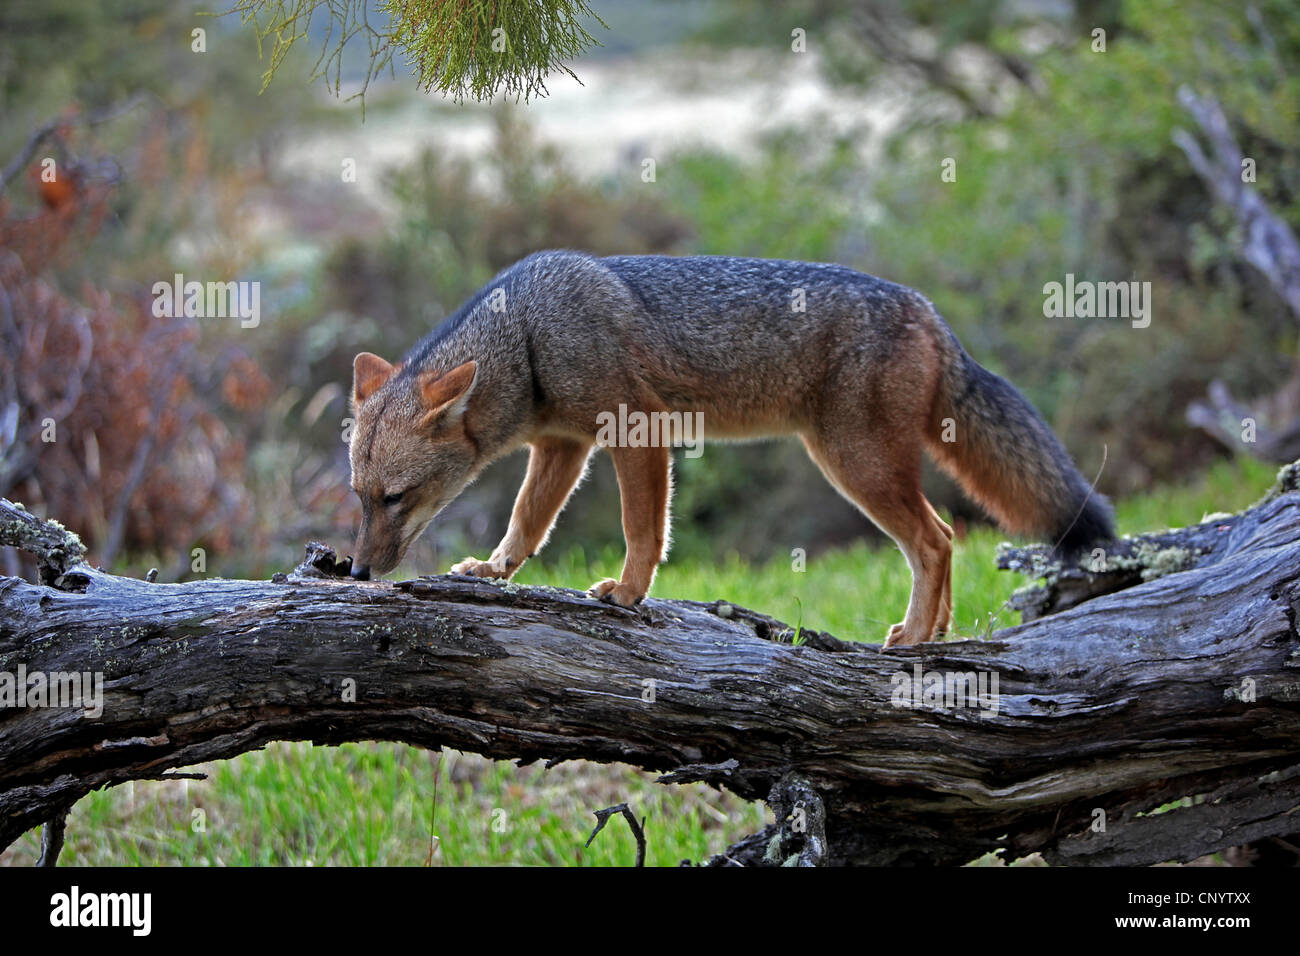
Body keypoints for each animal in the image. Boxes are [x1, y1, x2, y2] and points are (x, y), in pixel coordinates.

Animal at [347, 250, 1113, 646]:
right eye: (361, 500)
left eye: (397, 498)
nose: (356, 571)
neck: (530, 336)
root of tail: (925, 306)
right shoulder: (563, 448)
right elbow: (527, 522)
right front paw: (492, 570)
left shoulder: (638, 427)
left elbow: (641, 527)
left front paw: (628, 593)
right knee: (950, 534)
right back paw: (936, 631)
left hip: (853, 465)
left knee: (933, 540)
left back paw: (919, 639)